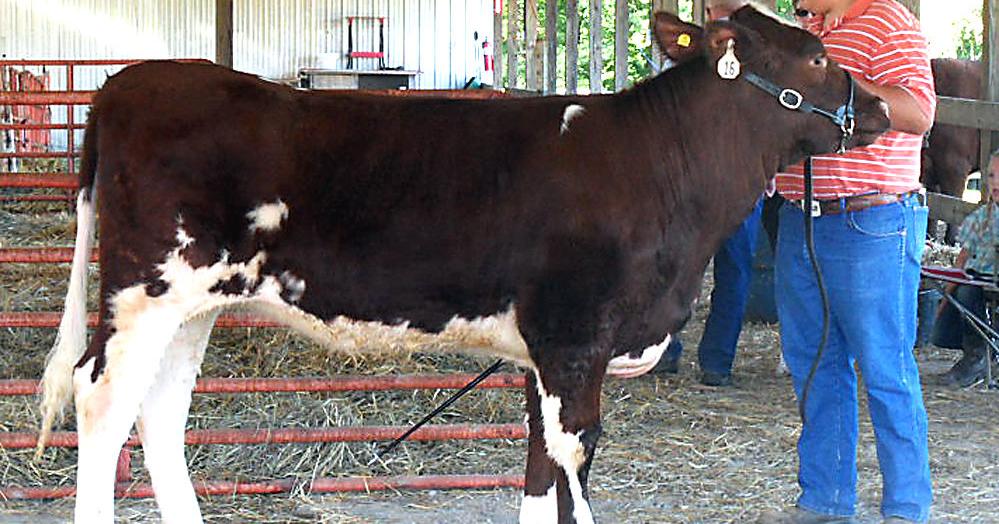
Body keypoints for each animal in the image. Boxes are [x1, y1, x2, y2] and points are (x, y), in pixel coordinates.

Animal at [37, 7, 888, 523]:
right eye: (817, 55)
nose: (880, 108)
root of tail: (130, 80)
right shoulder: (574, 342)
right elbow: (572, 473)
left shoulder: (544, 355)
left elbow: (538, 477)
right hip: (145, 292)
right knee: (102, 401)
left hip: (195, 304)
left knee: (160, 412)